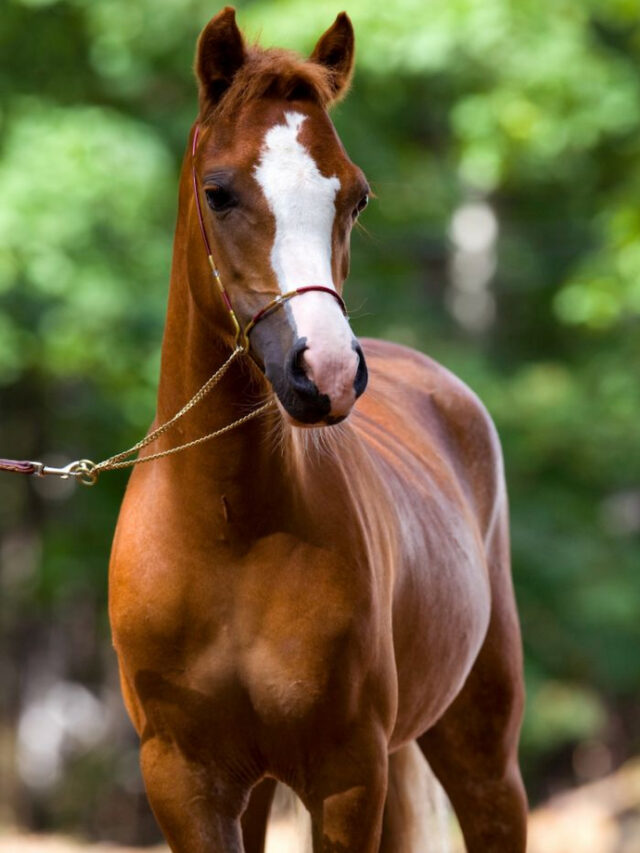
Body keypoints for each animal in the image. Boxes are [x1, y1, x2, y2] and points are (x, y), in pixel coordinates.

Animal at [108, 8, 528, 851]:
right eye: (219, 191)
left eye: (356, 198)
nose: (327, 371)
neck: (227, 530)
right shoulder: (184, 780)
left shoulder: (347, 775)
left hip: (481, 747)